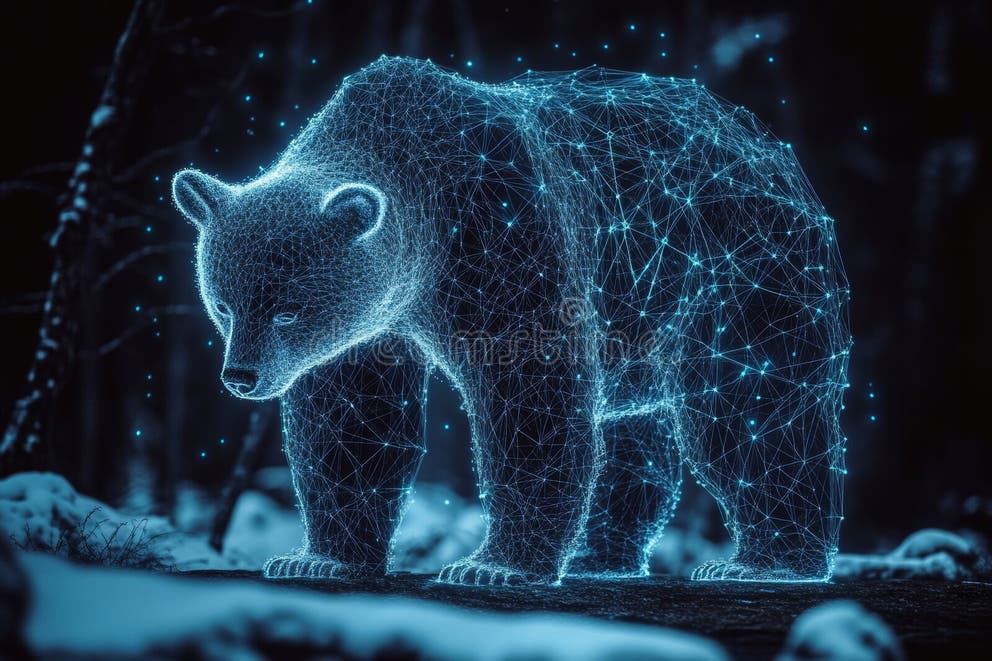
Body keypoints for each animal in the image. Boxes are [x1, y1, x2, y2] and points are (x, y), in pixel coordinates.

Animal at [172, 56, 851, 585]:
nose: (241, 376)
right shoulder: (371, 324)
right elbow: (352, 419)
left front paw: (492, 564)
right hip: (640, 313)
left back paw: (764, 561)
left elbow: (530, 388)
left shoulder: (502, 229)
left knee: (751, 408)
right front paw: (317, 558)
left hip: (738, 267)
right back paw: (599, 555)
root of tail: (767, 144)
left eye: (288, 309)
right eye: (225, 302)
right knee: (634, 438)